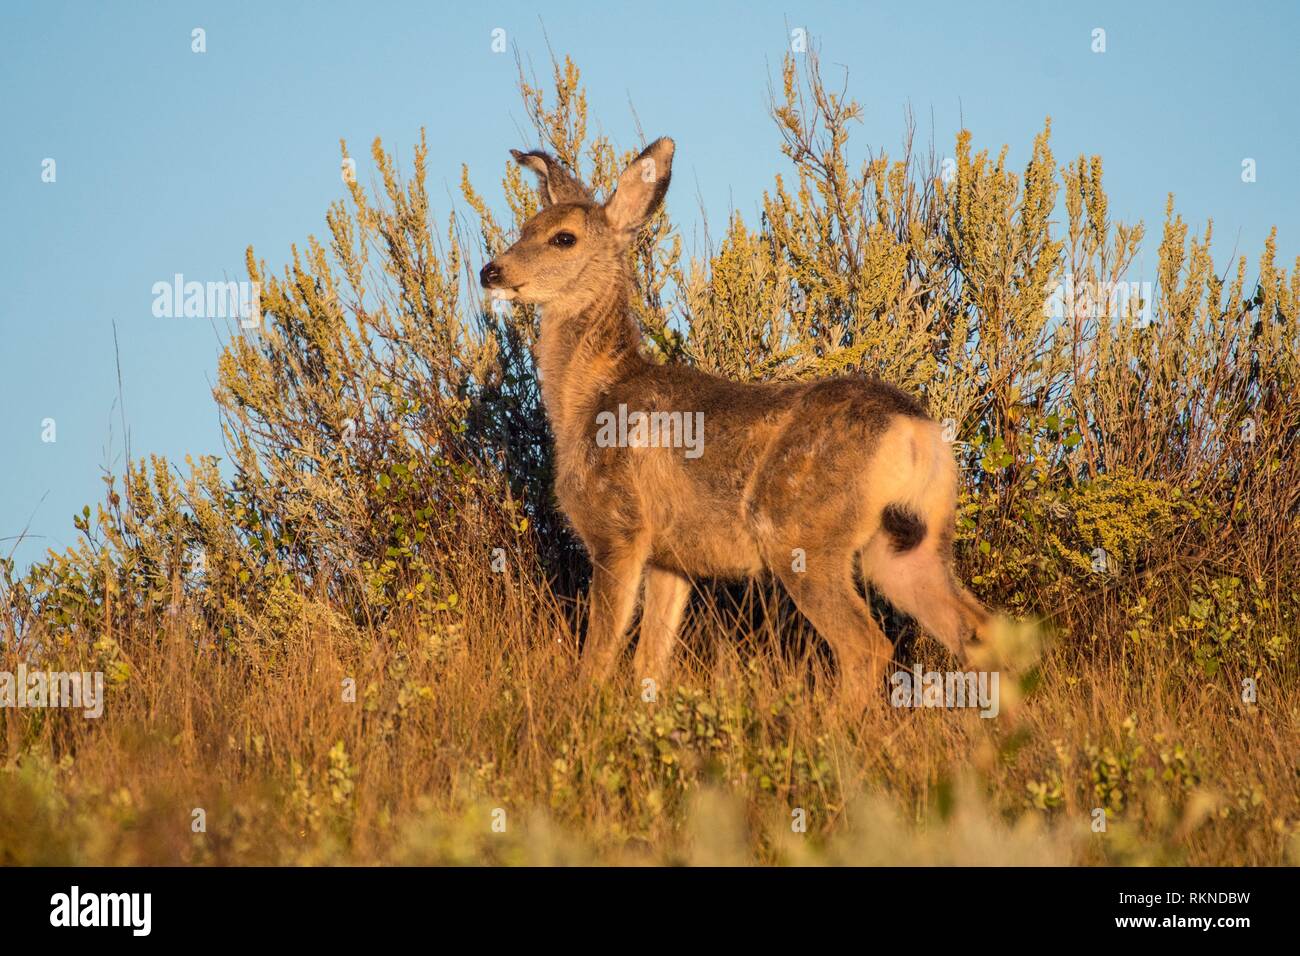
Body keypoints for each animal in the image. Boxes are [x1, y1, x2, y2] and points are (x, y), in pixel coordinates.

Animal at [480, 137, 992, 711]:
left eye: (563, 237)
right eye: (525, 226)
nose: (491, 271)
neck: (587, 400)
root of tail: (915, 431)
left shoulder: (620, 526)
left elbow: (602, 649)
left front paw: (583, 708)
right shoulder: (673, 558)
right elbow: (650, 661)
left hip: (800, 533)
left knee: (867, 644)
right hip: (911, 544)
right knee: (978, 629)